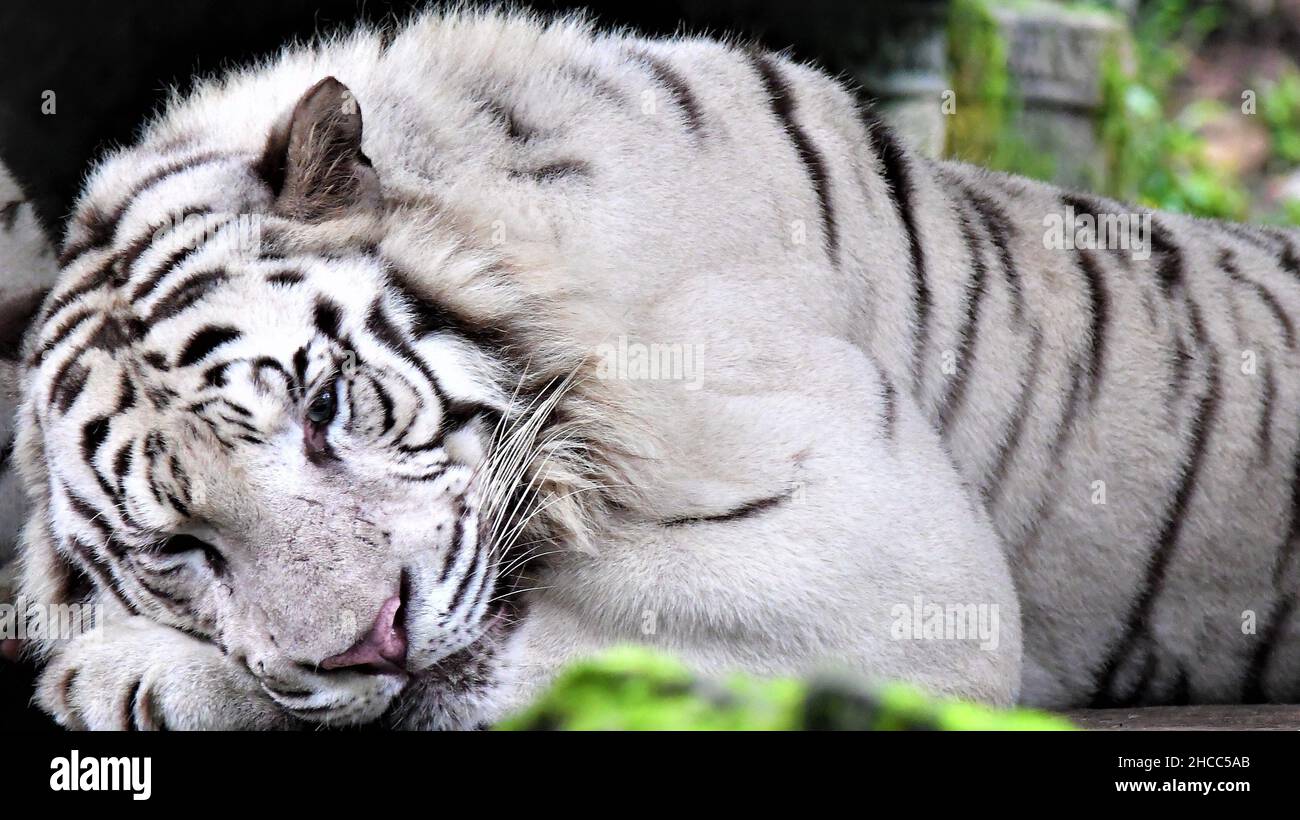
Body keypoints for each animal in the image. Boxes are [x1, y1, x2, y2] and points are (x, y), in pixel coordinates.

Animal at [1, 8, 1298, 730]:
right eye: (181, 547)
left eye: (324, 408)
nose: (370, 639)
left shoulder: (898, 554)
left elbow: (574, 637)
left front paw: (122, 676)